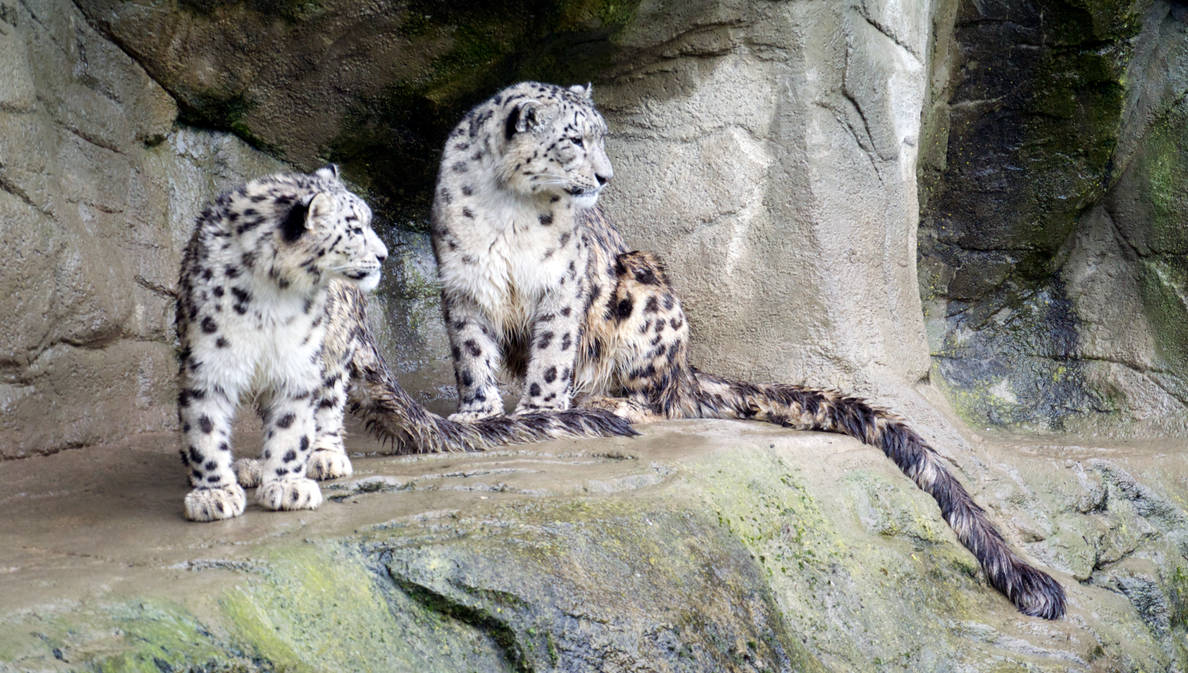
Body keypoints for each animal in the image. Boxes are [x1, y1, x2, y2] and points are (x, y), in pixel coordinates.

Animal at [175, 165, 634, 522]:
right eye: (353, 229)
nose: (381, 256)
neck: (269, 302)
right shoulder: (206, 363)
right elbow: (205, 428)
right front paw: (213, 493)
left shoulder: (299, 364)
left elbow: (292, 423)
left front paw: (287, 484)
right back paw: (251, 467)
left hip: (334, 349)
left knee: (328, 404)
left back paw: (322, 457)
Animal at [429, 81, 1066, 619]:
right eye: (574, 139)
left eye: (601, 134)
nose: (605, 177)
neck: (510, 213)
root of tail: (686, 369)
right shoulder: (461, 284)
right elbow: (472, 353)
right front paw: (477, 413)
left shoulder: (560, 286)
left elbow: (553, 351)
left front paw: (539, 410)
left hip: (646, 296)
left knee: (656, 396)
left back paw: (608, 403)